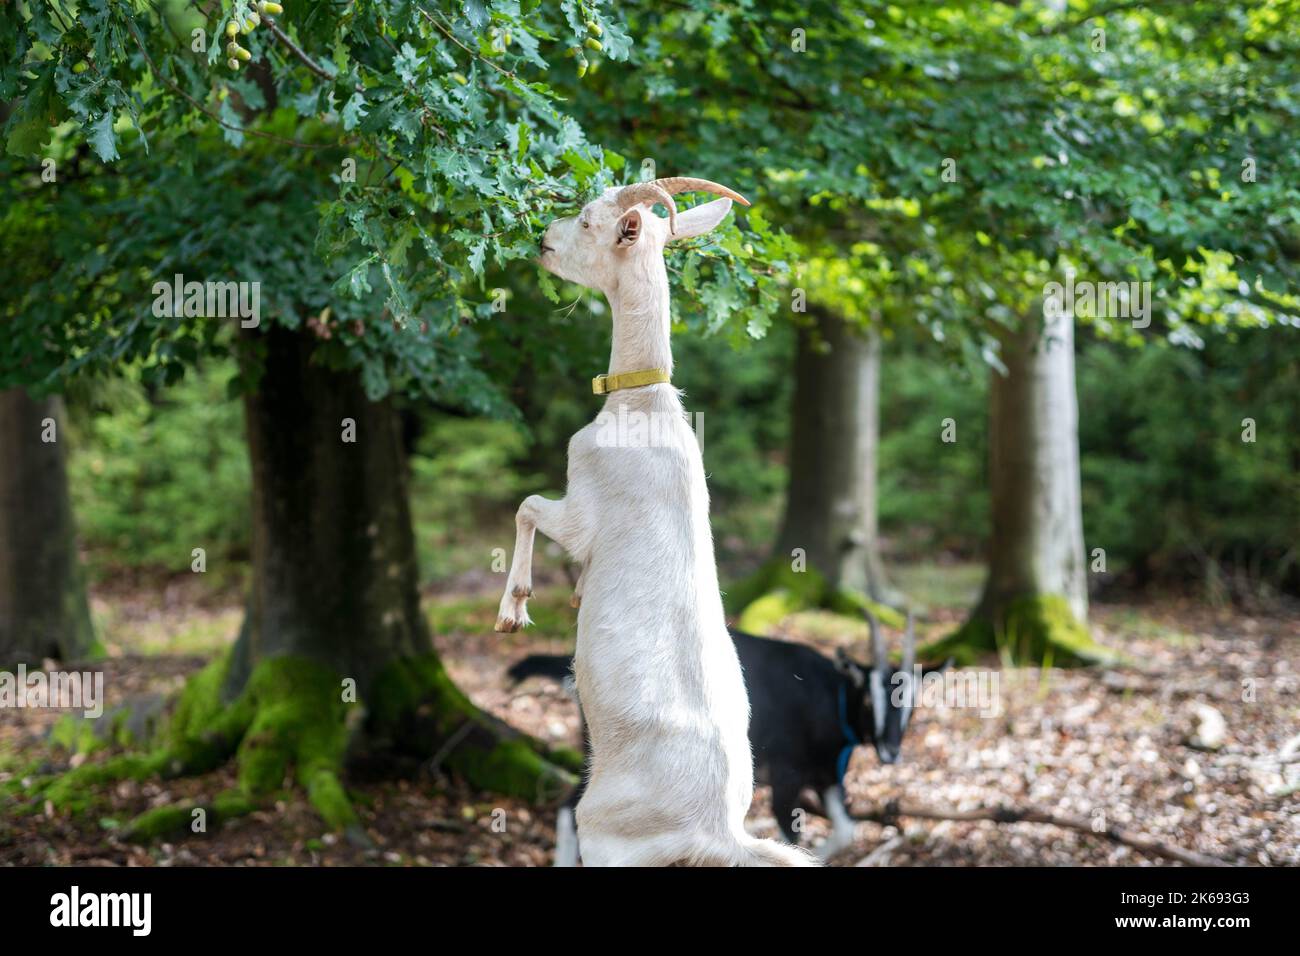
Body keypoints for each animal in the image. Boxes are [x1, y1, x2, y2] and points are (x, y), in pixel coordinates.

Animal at [495, 177, 813, 866]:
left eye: (590, 221)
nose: (543, 241)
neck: (640, 402)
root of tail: (716, 831)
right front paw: (571, 593)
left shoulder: (584, 504)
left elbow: (528, 506)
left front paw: (516, 607)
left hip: (604, 836)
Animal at [510, 613, 949, 864]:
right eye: (871, 698)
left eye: (911, 704)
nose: (891, 752)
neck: (828, 696)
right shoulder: (787, 777)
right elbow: (791, 835)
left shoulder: (827, 777)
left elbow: (845, 832)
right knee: (571, 809)